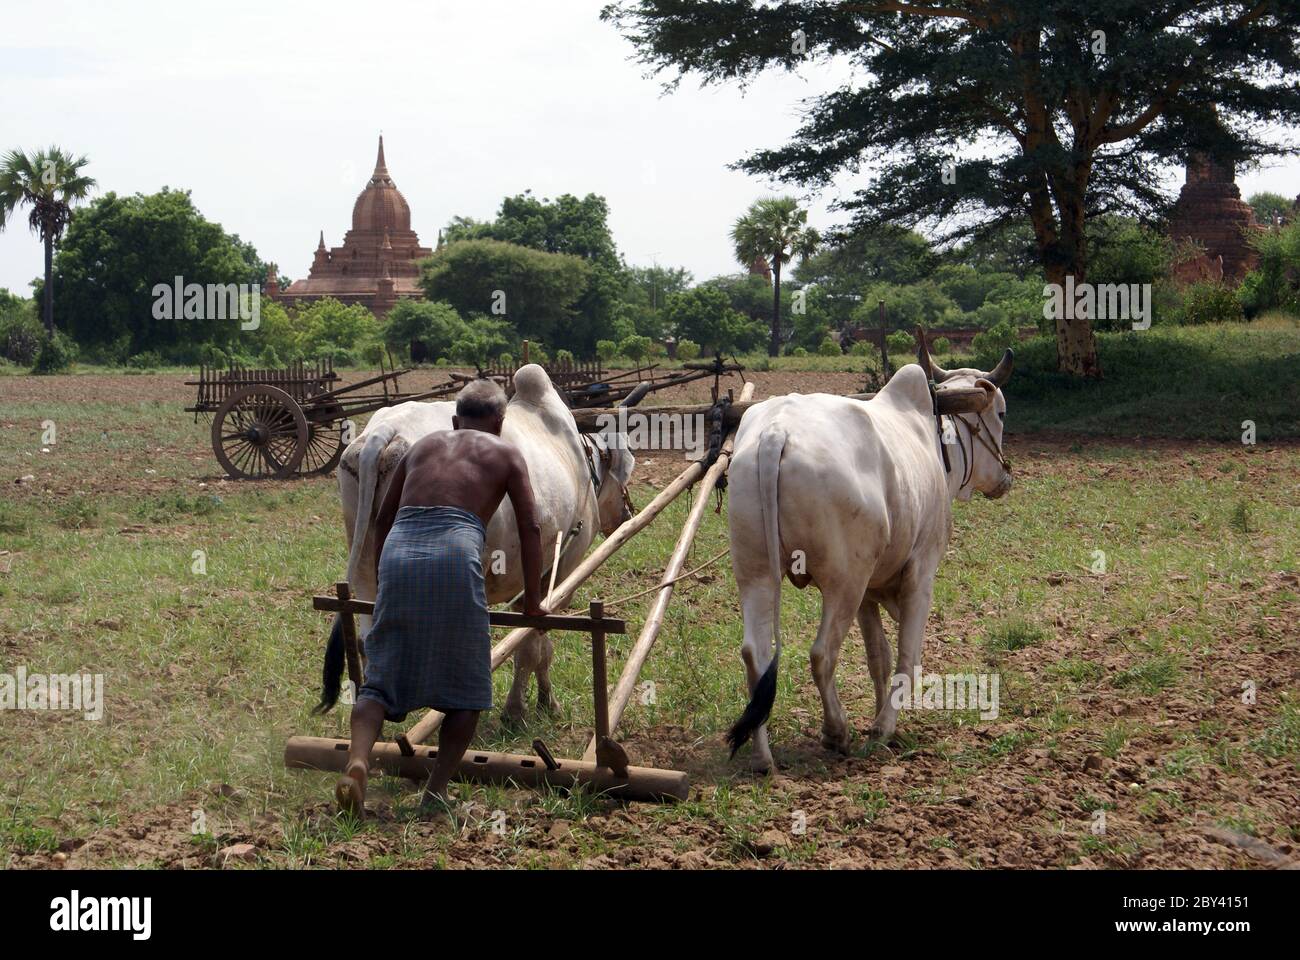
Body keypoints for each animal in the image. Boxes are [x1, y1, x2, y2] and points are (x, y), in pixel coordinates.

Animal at [724, 335, 1014, 772]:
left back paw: (762, 757)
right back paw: (836, 731)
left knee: (754, 655)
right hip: (843, 582)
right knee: (822, 654)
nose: (1005, 476)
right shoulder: (920, 574)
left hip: (757, 574)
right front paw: (883, 728)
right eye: (1000, 412)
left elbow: (879, 657)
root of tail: (776, 432)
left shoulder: (869, 593)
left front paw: (881, 717)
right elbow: (907, 657)